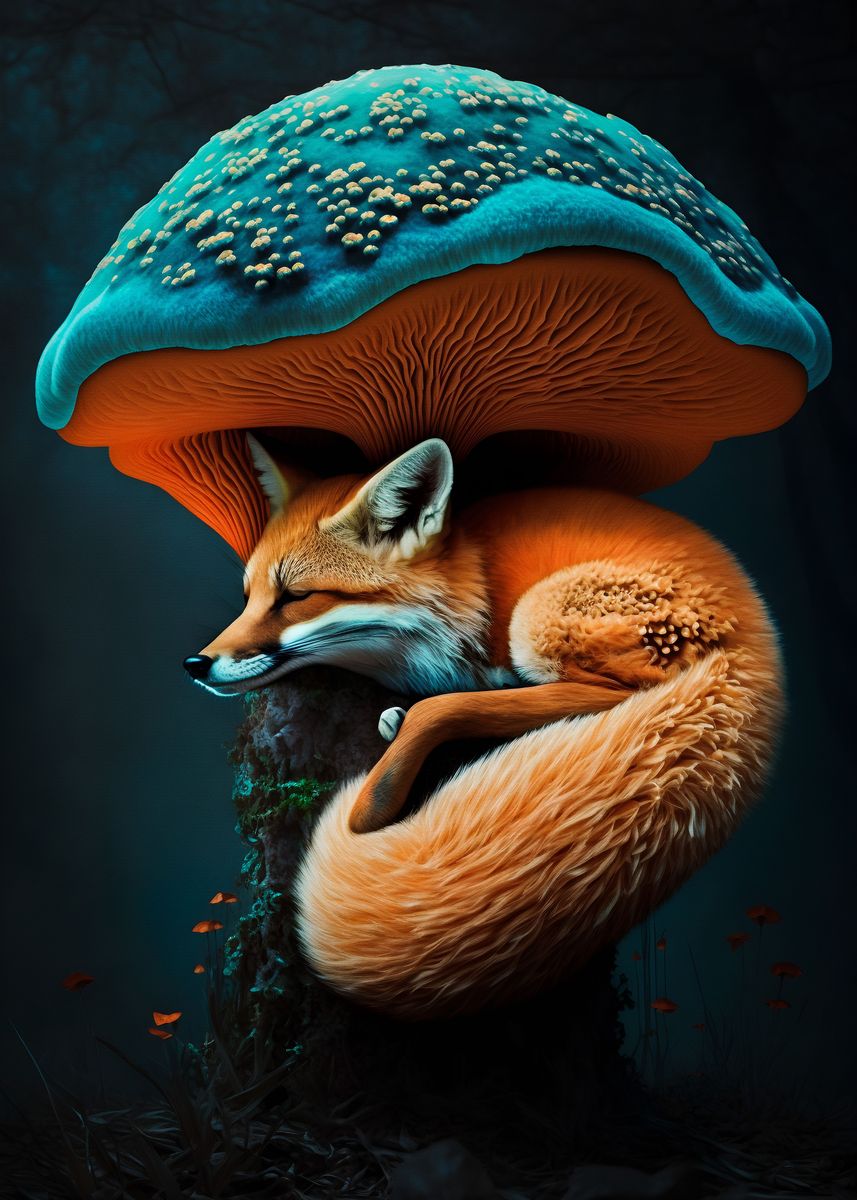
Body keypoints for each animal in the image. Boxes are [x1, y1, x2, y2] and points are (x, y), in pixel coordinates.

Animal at [186, 435, 783, 1018]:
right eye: (248, 598)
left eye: (296, 596)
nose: (196, 664)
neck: (473, 579)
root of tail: (759, 640)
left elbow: (442, 706)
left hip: (539, 620)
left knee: (606, 696)